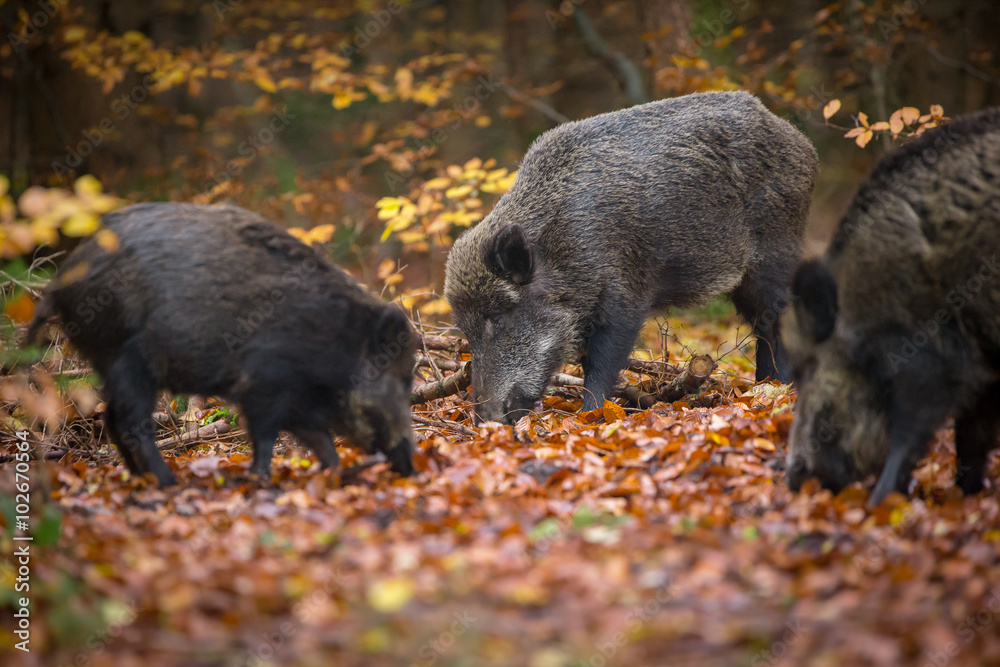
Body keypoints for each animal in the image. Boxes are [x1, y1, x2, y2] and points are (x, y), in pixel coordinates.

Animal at [27, 202, 416, 486]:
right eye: (402, 380)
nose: (412, 465)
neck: (334, 341)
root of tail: (62, 279)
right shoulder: (264, 382)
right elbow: (266, 434)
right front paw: (261, 480)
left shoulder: (296, 397)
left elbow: (319, 438)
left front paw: (333, 472)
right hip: (128, 358)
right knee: (130, 421)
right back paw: (168, 483)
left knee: (111, 418)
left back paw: (141, 479)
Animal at [444, 91, 818, 424]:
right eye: (466, 329)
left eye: (498, 317)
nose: (485, 420)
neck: (562, 249)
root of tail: (804, 146)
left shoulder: (624, 297)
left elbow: (601, 363)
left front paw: (589, 415)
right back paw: (764, 387)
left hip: (776, 252)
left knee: (778, 321)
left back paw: (778, 389)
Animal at [784, 107, 1000, 505]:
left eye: (807, 369)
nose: (793, 478)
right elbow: (971, 437)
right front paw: (964, 498)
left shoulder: (927, 353)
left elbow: (912, 431)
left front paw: (878, 504)